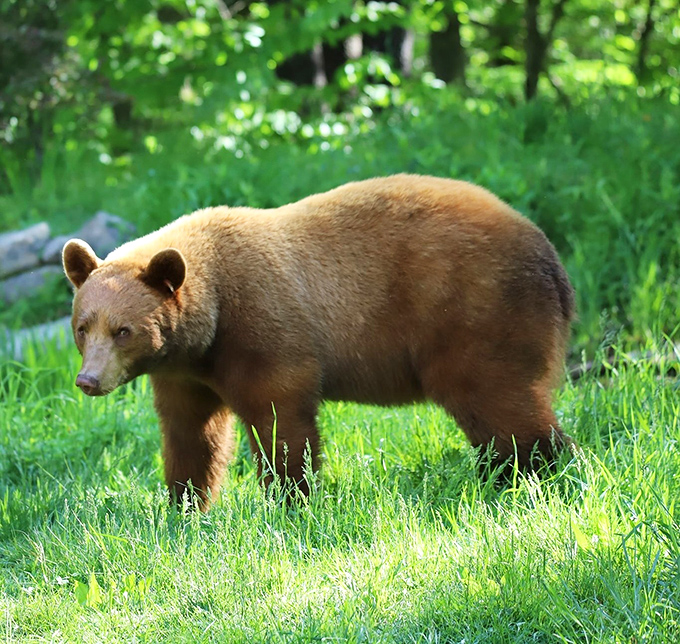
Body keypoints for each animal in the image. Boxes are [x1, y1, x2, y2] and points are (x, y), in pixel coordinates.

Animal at [62, 174, 575, 509]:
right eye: (83, 327)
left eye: (123, 330)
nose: (88, 380)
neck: (210, 323)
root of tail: (550, 257)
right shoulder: (185, 373)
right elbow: (190, 433)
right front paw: (184, 505)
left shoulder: (264, 328)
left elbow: (280, 416)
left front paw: (291, 499)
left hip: (475, 313)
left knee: (497, 402)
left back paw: (543, 476)